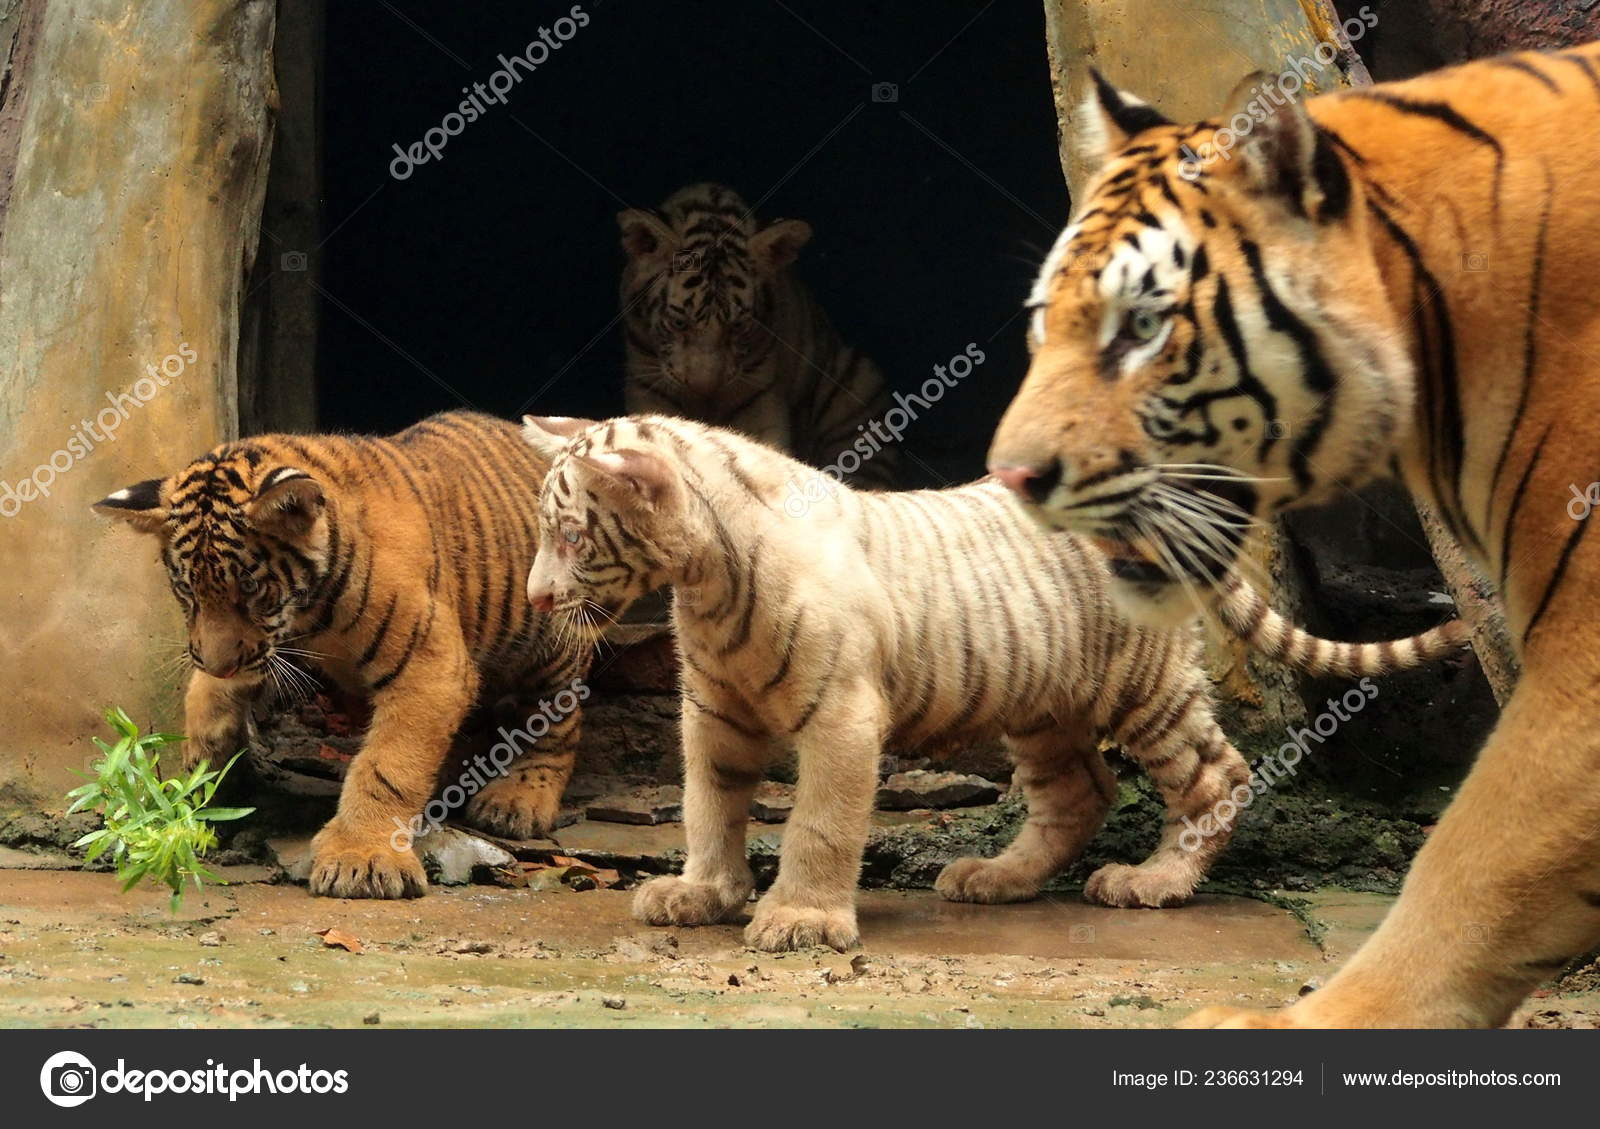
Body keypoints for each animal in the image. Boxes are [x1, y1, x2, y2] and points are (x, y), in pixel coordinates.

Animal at [93, 410, 589, 899]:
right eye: (187, 589)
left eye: (250, 588)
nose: (220, 664)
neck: (310, 614)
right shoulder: (263, 646)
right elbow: (209, 693)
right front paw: (201, 764)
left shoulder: (429, 665)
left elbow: (387, 765)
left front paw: (362, 859)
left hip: (551, 638)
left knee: (557, 719)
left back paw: (517, 800)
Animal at [518, 413, 1466, 952]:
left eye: (571, 537)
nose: (533, 597)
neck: (706, 580)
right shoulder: (714, 714)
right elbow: (708, 805)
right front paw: (703, 892)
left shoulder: (842, 716)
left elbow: (819, 824)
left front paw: (801, 918)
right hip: (1042, 702)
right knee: (1081, 790)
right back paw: (997, 876)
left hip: (1145, 682)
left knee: (1216, 773)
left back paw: (1153, 882)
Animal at [618, 181, 896, 487]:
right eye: (679, 323)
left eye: (738, 326)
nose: (703, 389)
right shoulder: (649, 383)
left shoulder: (759, 394)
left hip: (858, 381)